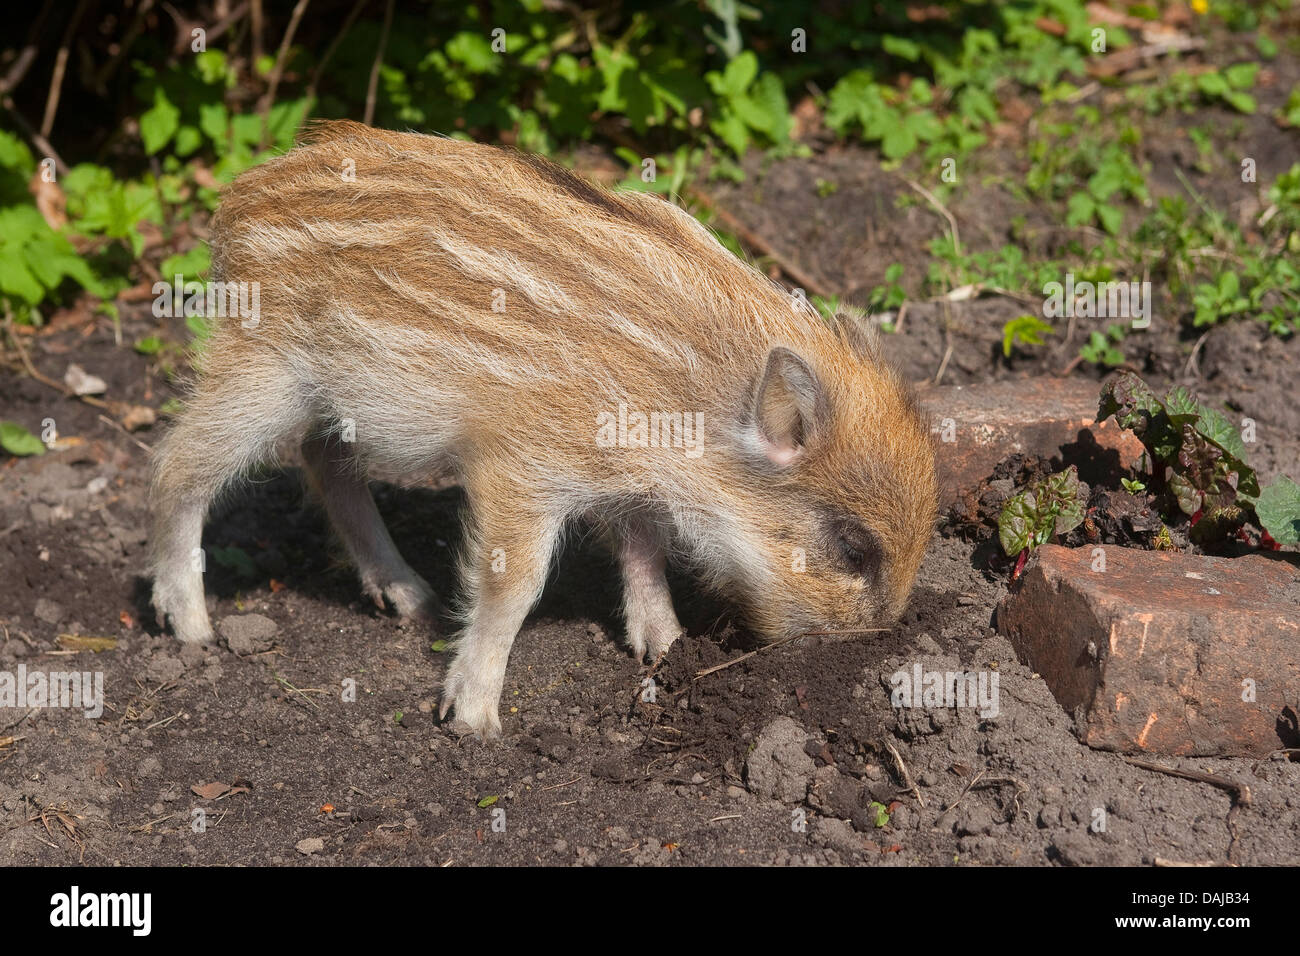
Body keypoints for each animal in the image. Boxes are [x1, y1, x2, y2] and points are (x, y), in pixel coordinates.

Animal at [148, 120, 938, 738]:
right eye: (852, 548)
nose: (869, 643)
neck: (691, 396)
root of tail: (236, 200)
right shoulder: (521, 461)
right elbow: (515, 584)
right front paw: (472, 721)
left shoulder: (626, 473)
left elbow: (643, 544)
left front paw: (664, 647)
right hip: (263, 366)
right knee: (177, 466)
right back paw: (191, 628)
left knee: (322, 460)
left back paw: (408, 597)